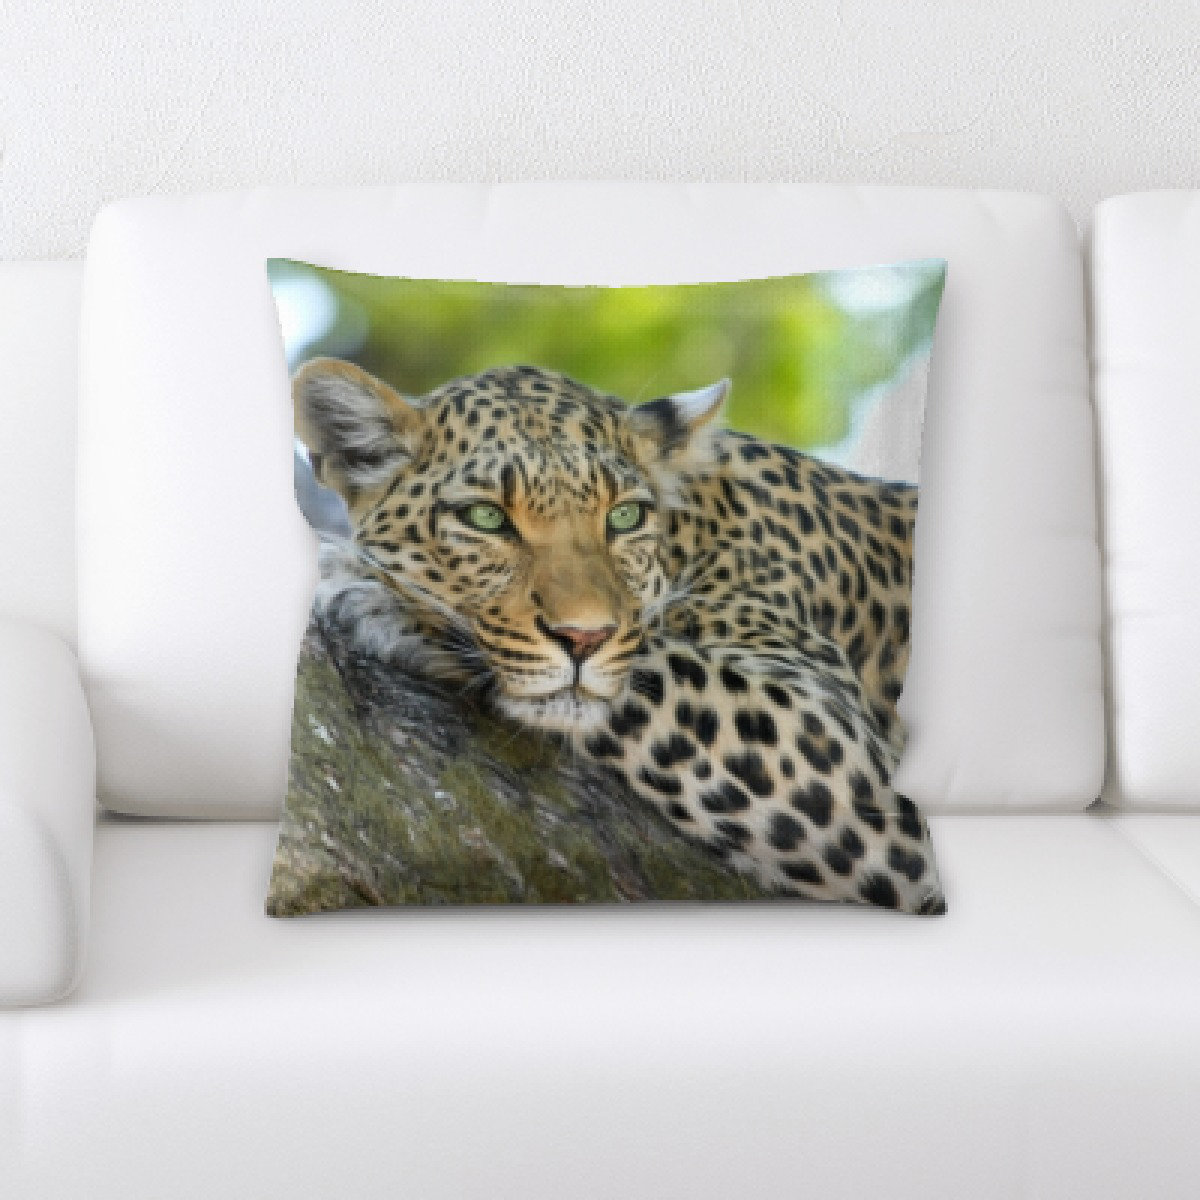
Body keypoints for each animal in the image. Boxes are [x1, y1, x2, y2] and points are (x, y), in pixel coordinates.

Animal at [294, 358, 946, 915]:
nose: (583, 638)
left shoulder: (838, 740)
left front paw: (374, 592)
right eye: (486, 518)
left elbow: (652, 667)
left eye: (624, 517)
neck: (694, 532)